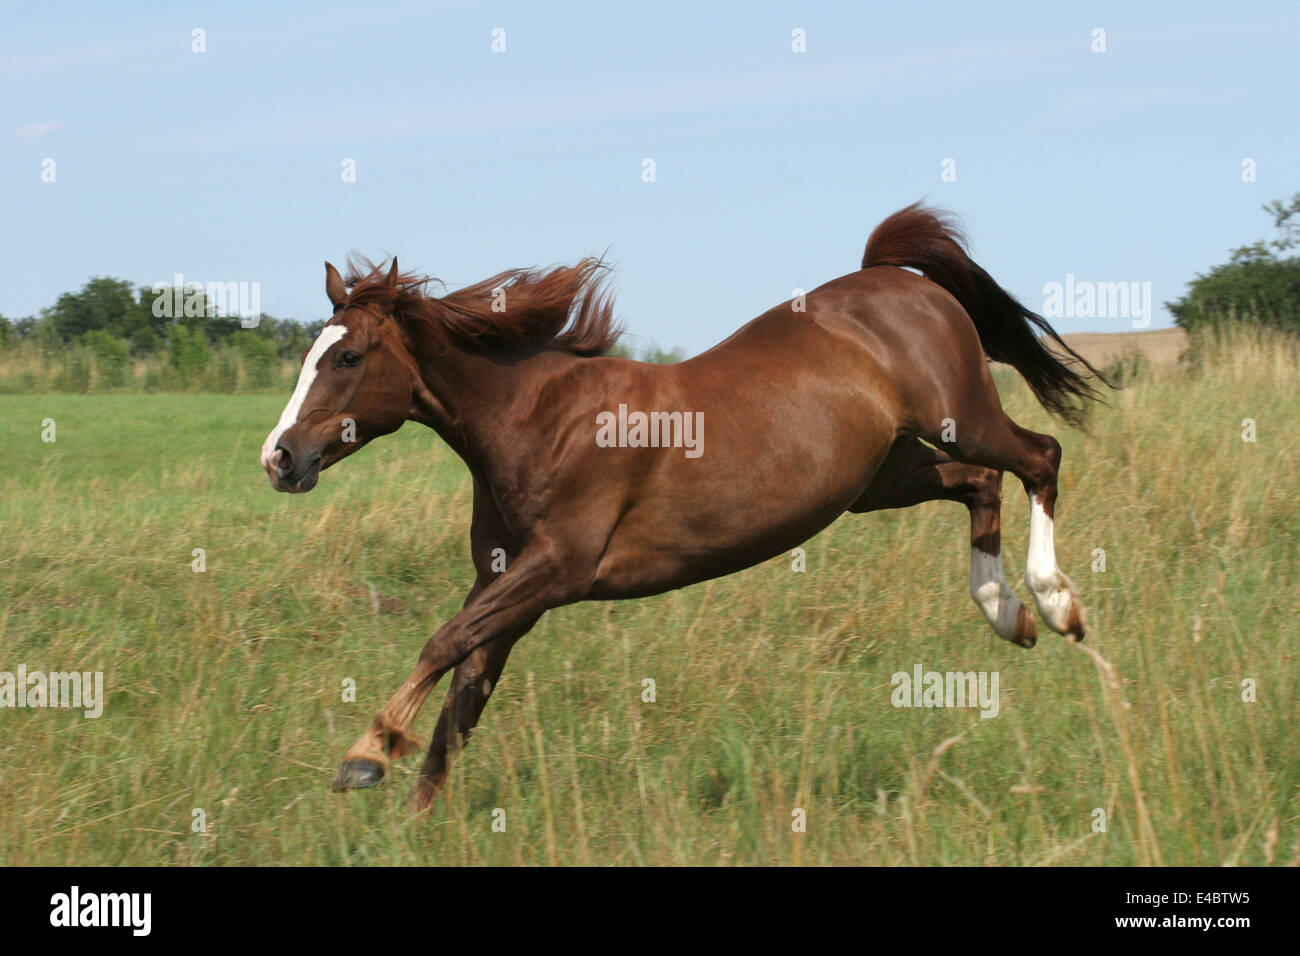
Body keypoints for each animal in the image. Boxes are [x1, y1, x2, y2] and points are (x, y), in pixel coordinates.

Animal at [259, 203, 1106, 811]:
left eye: (346, 356)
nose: (279, 458)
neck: (539, 421)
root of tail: (898, 281)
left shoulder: (558, 569)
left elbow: (444, 643)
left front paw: (363, 758)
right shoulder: (506, 585)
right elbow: (465, 694)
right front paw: (410, 817)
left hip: (960, 414)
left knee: (1041, 458)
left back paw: (1056, 605)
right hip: (884, 477)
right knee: (980, 485)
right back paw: (1006, 613)